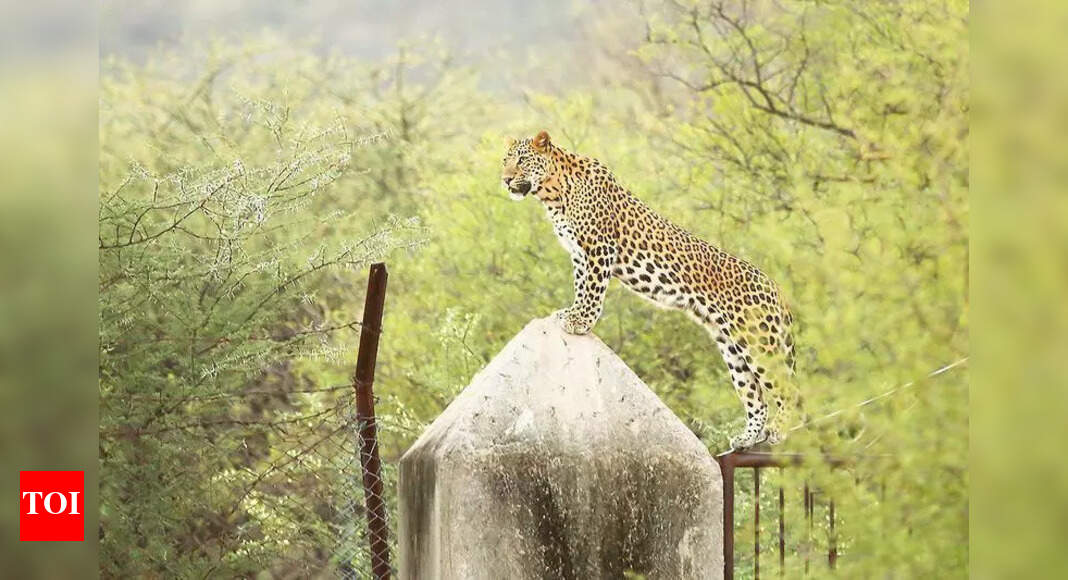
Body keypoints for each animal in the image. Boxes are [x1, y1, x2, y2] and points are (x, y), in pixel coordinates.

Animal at [501, 130, 799, 449]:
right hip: (732, 349)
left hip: (758, 343)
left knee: (789, 391)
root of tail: (776, 288)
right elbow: (581, 285)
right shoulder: (579, 253)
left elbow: (592, 288)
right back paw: (747, 438)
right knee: (755, 397)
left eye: (522, 160)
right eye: (505, 161)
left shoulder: (599, 247)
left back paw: (779, 430)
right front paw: (572, 313)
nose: (505, 179)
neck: (553, 192)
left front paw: (580, 321)